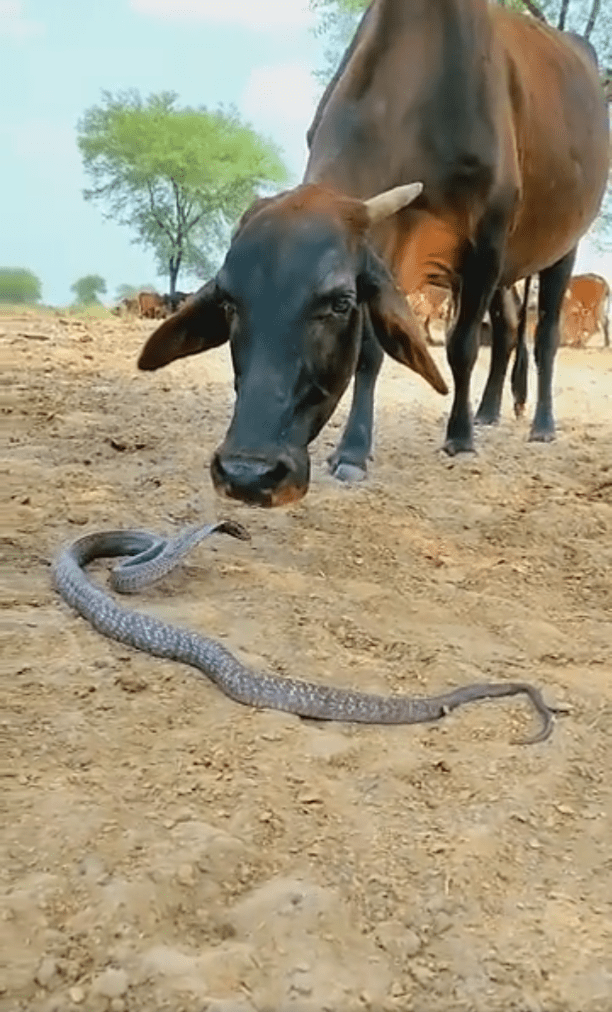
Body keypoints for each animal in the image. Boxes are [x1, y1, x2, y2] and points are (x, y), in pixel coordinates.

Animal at [138, 0, 609, 507]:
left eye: (339, 303)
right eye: (228, 301)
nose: (247, 472)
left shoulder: (487, 245)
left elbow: (462, 345)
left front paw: (459, 437)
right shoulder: (390, 252)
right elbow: (370, 352)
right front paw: (352, 451)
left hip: (562, 251)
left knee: (545, 337)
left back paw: (540, 424)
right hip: (507, 275)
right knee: (506, 330)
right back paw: (488, 411)